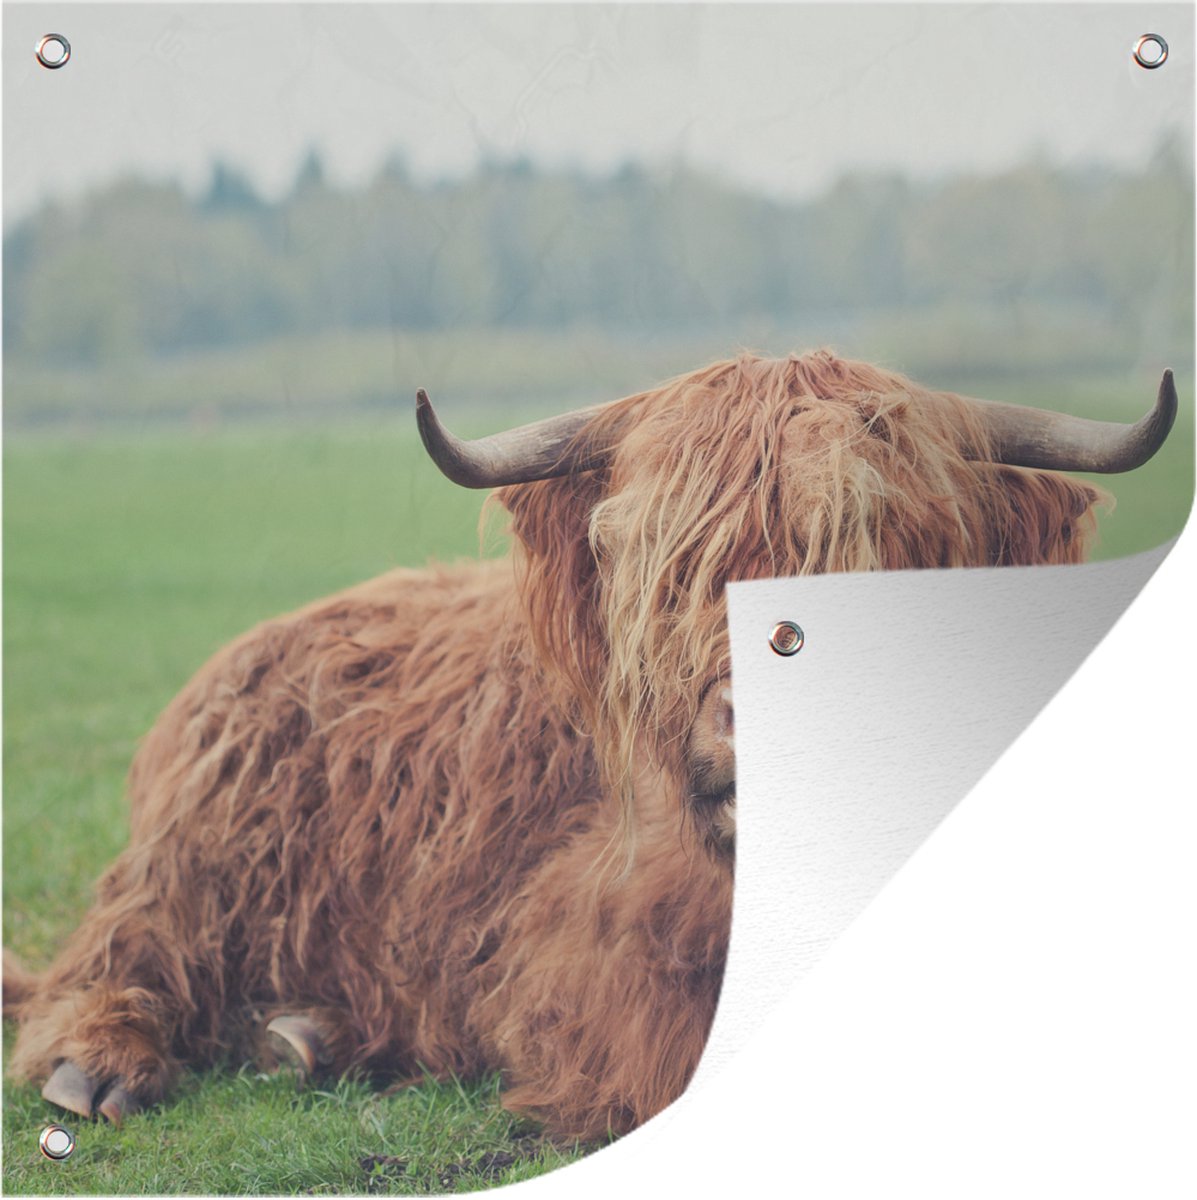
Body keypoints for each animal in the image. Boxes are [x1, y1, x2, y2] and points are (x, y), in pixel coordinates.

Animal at [5, 351, 1176, 1141]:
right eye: (662, 565)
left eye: (873, 543)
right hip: (203, 851)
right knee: (118, 949)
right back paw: (100, 1066)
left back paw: (303, 1040)